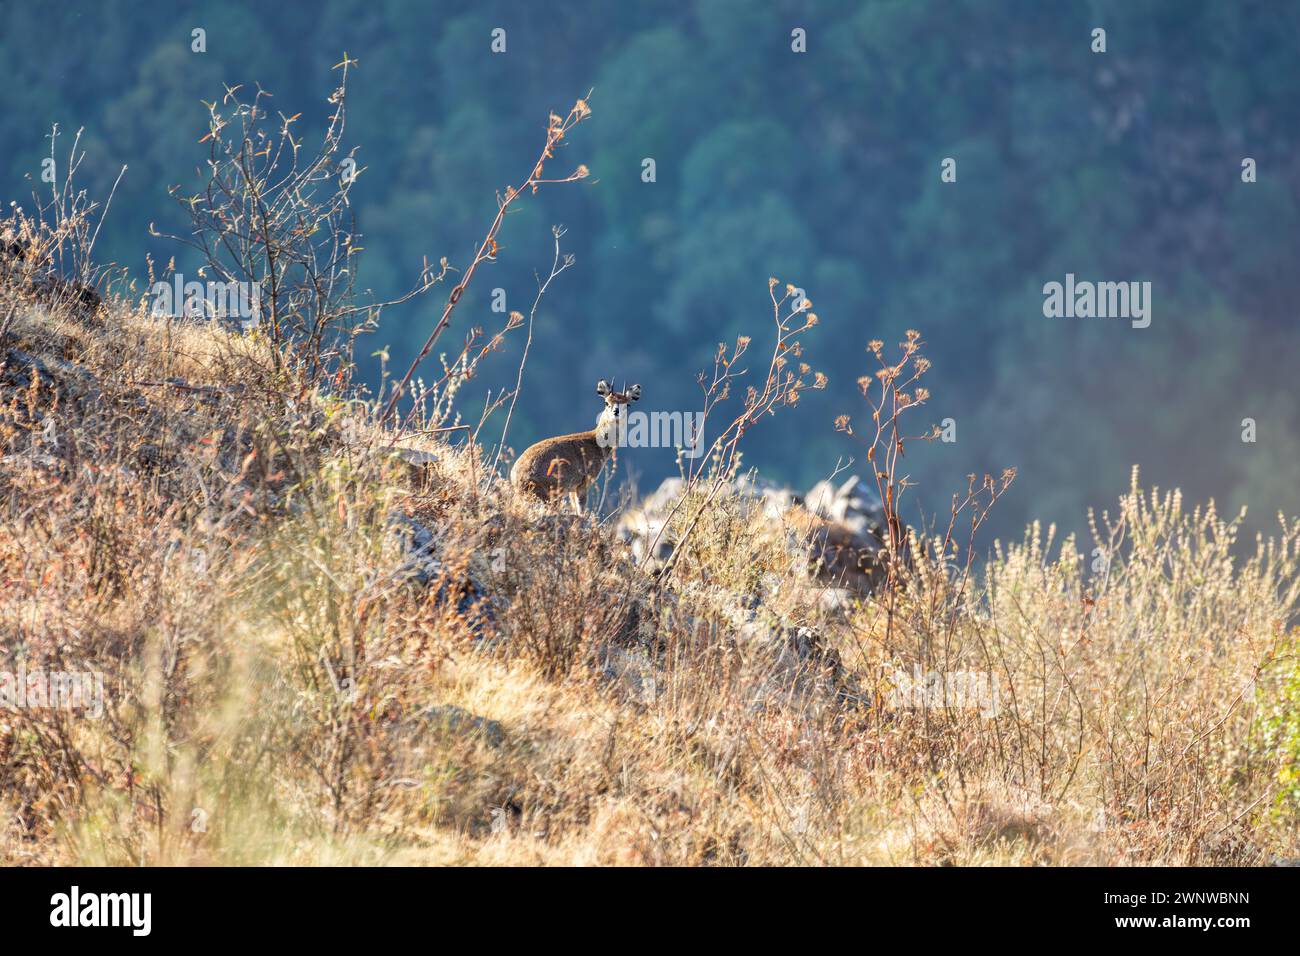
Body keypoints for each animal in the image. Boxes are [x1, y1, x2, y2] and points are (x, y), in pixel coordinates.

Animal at [510, 379, 641, 511]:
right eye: (606, 402)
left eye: (628, 404)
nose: (616, 411)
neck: (598, 446)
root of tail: (516, 477)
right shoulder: (585, 481)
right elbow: (581, 508)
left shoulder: (573, 487)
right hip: (548, 491)